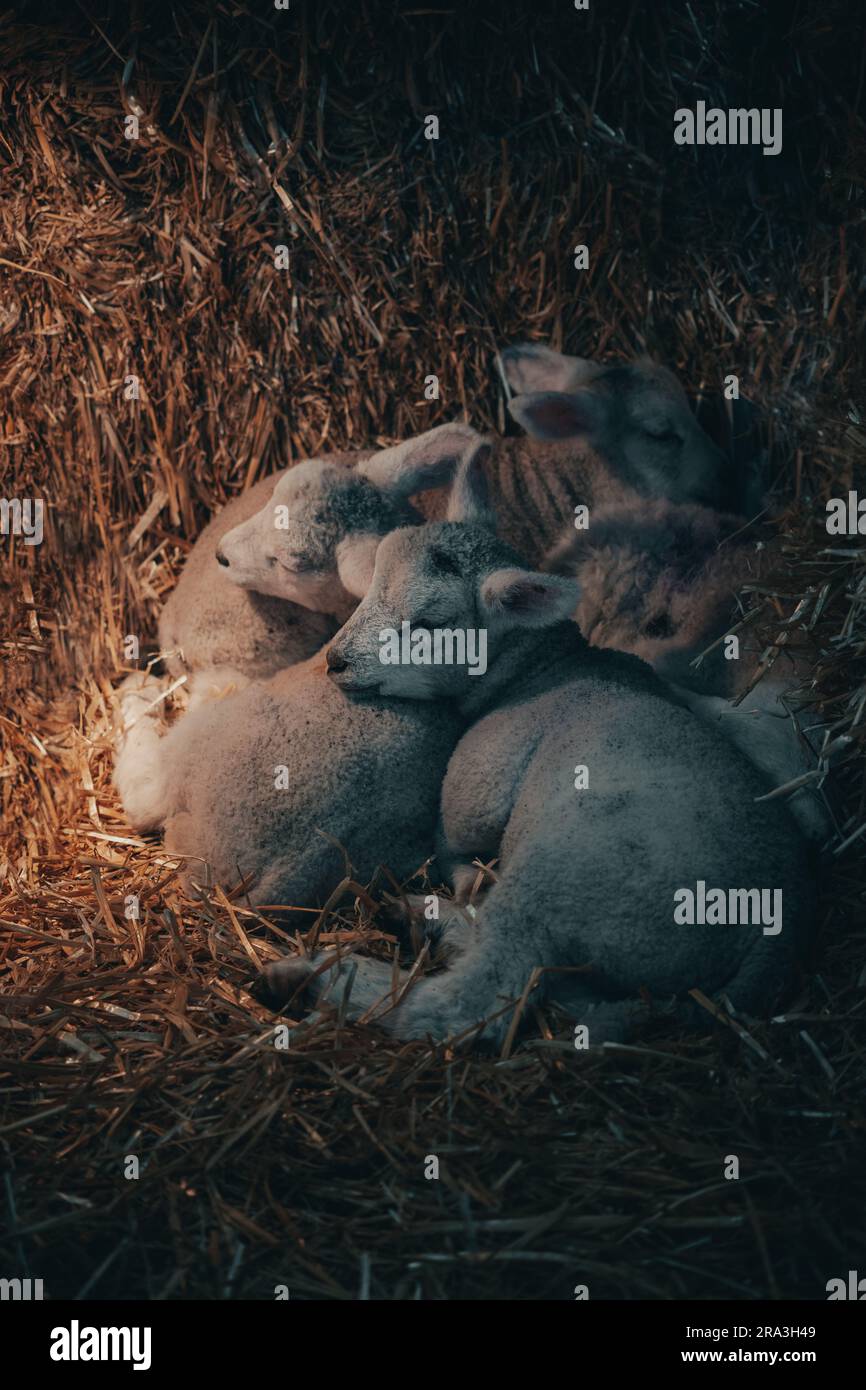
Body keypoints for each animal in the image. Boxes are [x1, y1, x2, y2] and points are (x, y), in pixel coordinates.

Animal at [265, 445, 815, 1048]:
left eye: (430, 623)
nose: (335, 661)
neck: (539, 668)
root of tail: (774, 937)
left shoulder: (476, 788)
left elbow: (454, 843)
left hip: (564, 877)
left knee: (471, 999)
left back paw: (318, 976)